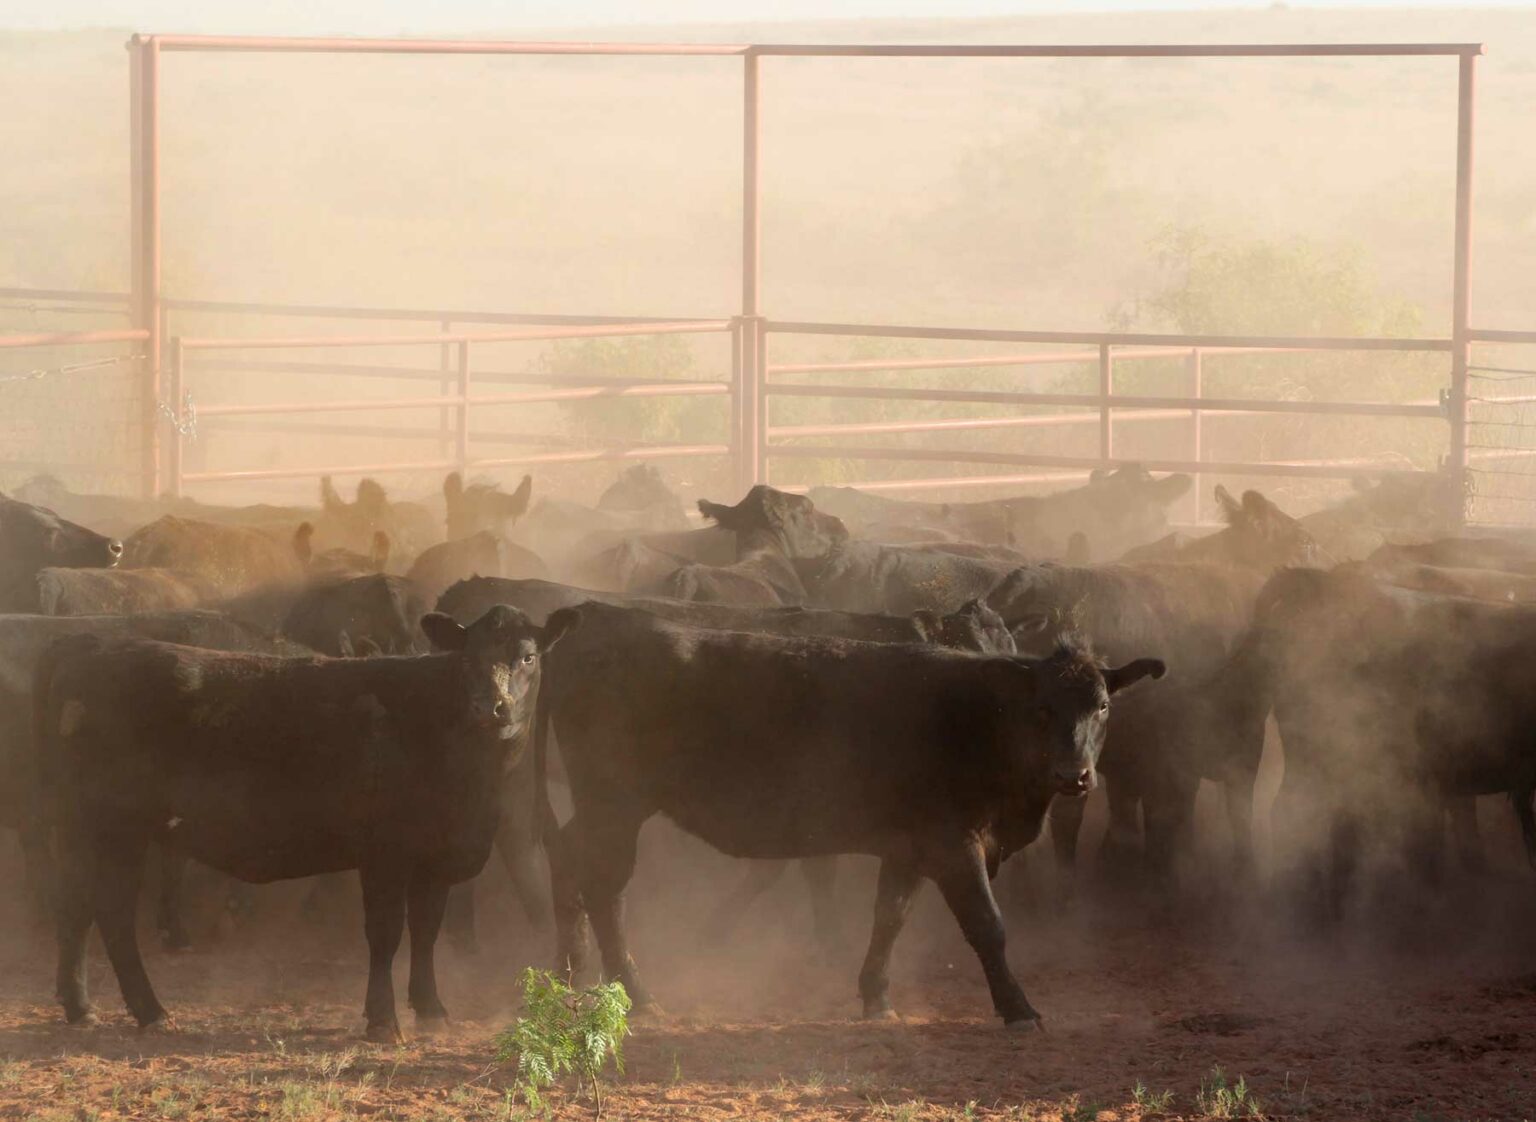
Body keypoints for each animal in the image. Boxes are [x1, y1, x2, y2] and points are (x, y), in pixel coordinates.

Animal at [35, 604, 576, 1041]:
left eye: (528, 657)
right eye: (467, 658)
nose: (491, 707)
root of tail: (92, 648)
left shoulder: (437, 856)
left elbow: (426, 931)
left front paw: (432, 1010)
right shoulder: (384, 854)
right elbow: (386, 934)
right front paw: (383, 1022)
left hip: (85, 829)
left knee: (76, 906)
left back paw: (81, 1006)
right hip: (115, 827)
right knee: (111, 911)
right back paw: (151, 1011)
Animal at [536, 601, 1163, 1026]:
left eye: (1103, 706)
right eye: (1041, 710)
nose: (1074, 775)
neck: (982, 721)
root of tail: (597, 620)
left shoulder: (908, 848)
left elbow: (890, 918)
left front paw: (876, 996)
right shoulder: (953, 843)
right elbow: (988, 925)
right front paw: (1019, 1008)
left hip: (604, 809)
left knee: (567, 860)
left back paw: (571, 970)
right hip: (614, 805)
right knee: (605, 887)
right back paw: (636, 992)